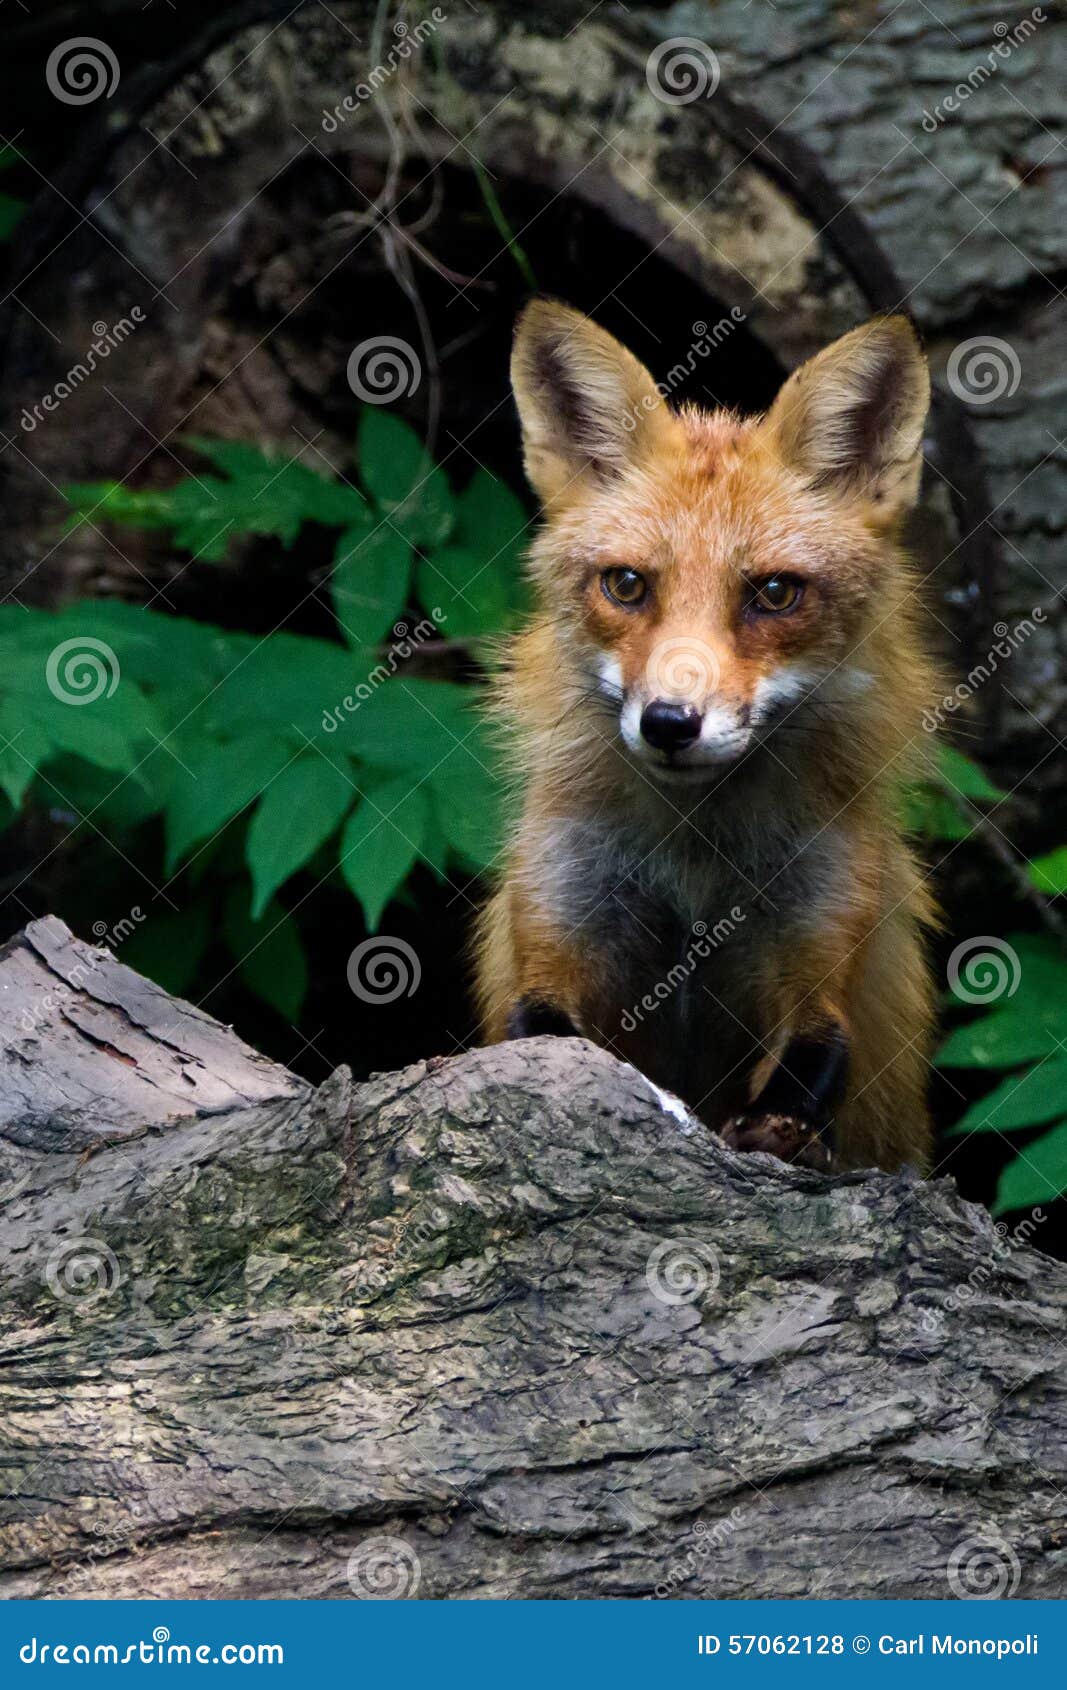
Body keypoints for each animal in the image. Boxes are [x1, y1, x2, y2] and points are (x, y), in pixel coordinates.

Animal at [475, 300, 941, 1174]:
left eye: (774, 594)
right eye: (626, 585)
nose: (668, 723)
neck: (695, 859)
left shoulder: (821, 933)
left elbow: (820, 1049)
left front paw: (783, 1132)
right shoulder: (559, 919)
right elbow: (542, 1035)